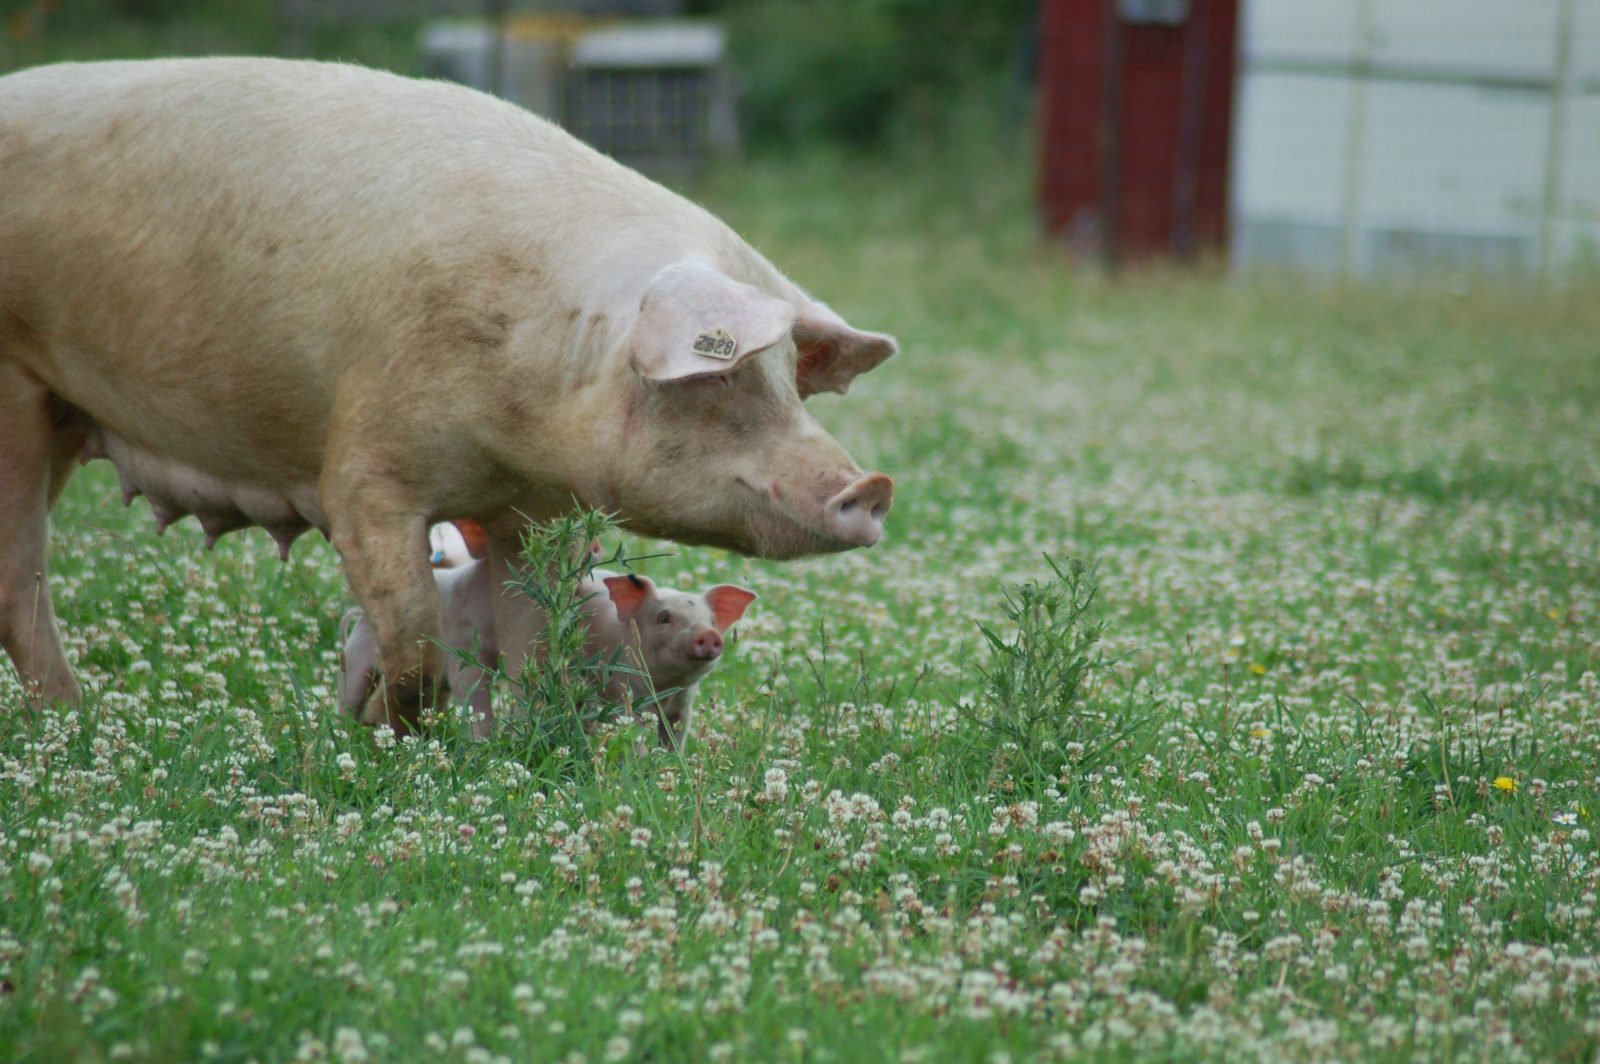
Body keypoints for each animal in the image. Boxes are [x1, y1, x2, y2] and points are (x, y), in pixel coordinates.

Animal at [0, 58, 896, 730]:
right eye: (722, 373)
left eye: (790, 379)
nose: (871, 485)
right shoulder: (363, 470)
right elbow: (413, 629)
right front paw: (404, 731)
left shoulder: (537, 511)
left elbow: (537, 636)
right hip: (15, 396)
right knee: (21, 583)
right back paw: (73, 721)